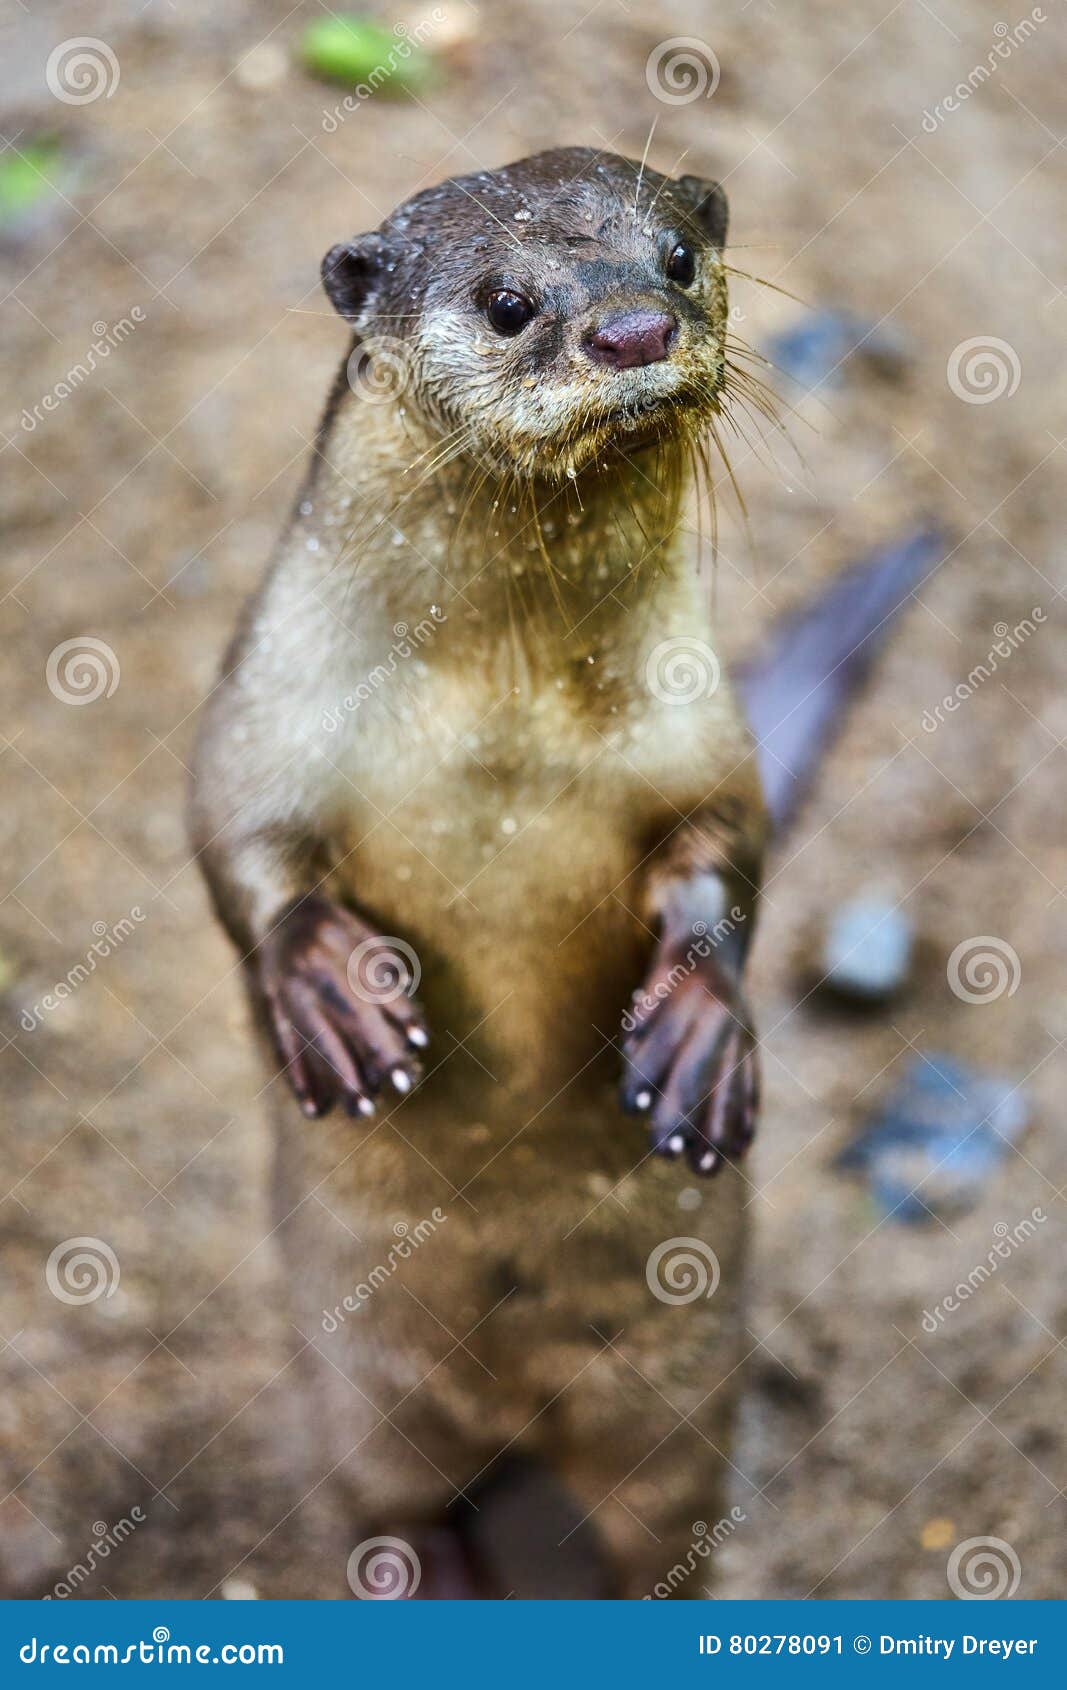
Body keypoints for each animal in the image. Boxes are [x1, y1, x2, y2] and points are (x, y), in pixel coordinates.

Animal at [190, 147, 923, 1598]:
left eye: (678, 256)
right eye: (506, 298)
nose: (632, 328)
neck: (497, 725)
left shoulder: (695, 732)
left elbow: (723, 851)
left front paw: (697, 1031)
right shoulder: (262, 700)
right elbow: (238, 844)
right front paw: (331, 993)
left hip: (676, 1398)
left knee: (659, 1524)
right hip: (361, 1390)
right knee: (390, 1503)